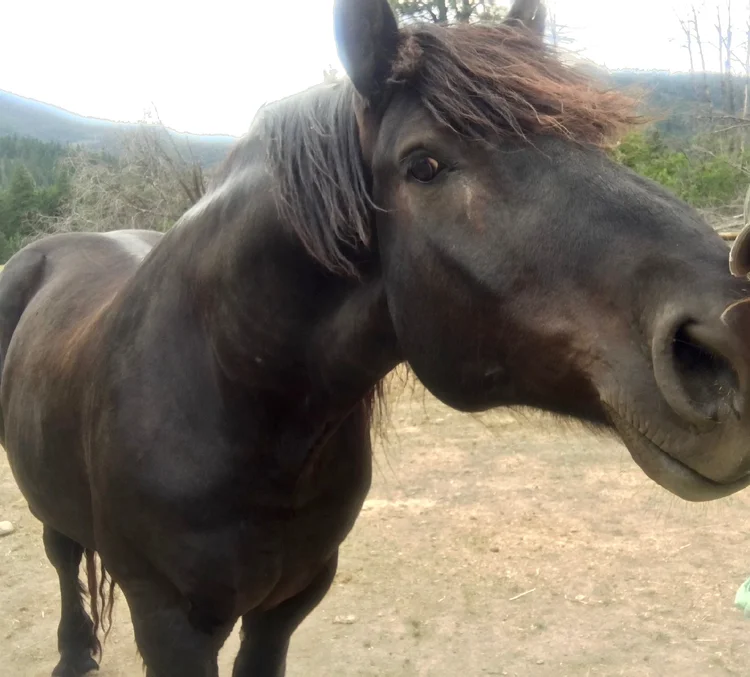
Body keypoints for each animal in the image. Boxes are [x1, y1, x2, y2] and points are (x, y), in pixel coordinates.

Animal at [4, 0, 750, 675]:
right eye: (424, 165)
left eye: (593, 142)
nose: (727, 346)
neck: (232, 398)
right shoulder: (170, 626)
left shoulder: (289, 602)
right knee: (62, 556)